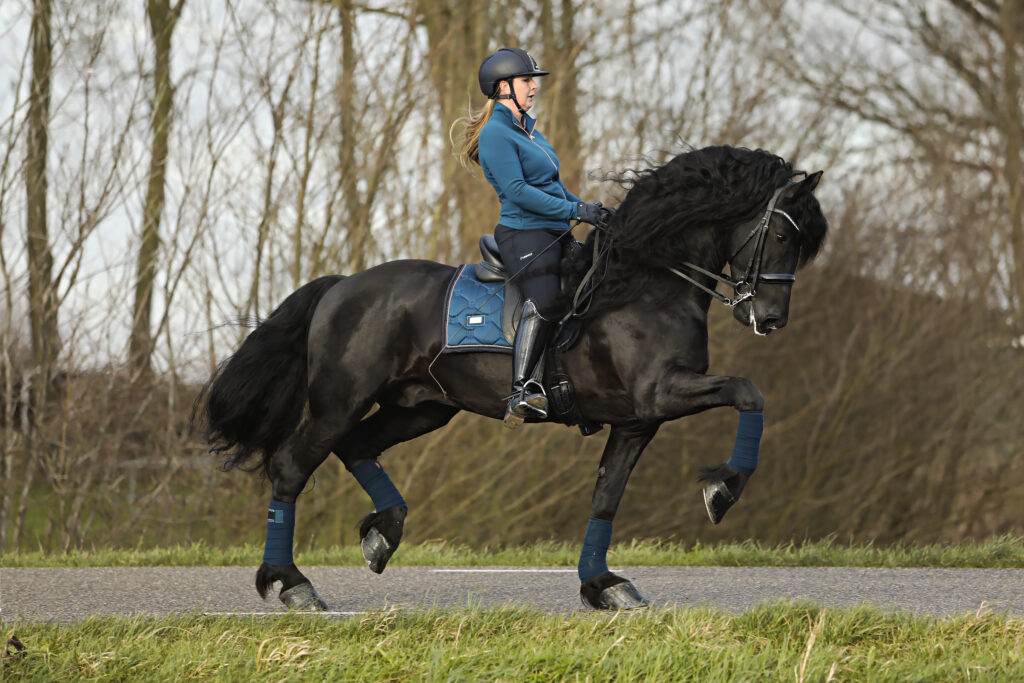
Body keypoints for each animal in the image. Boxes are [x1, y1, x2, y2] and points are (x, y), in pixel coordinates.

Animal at [197, 145, 828, 611]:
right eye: (781, 236)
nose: (770, 319)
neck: (648, 281)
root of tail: (341, 284)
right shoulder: (661, 393)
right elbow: (749, 391)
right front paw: (722, 490)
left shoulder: (638, 420)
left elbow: (607, 497)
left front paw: (602, 585)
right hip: (340, 401)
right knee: (291, 466)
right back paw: (293, 583)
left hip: (422, 408)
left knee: (356, 448)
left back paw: (383, 533)